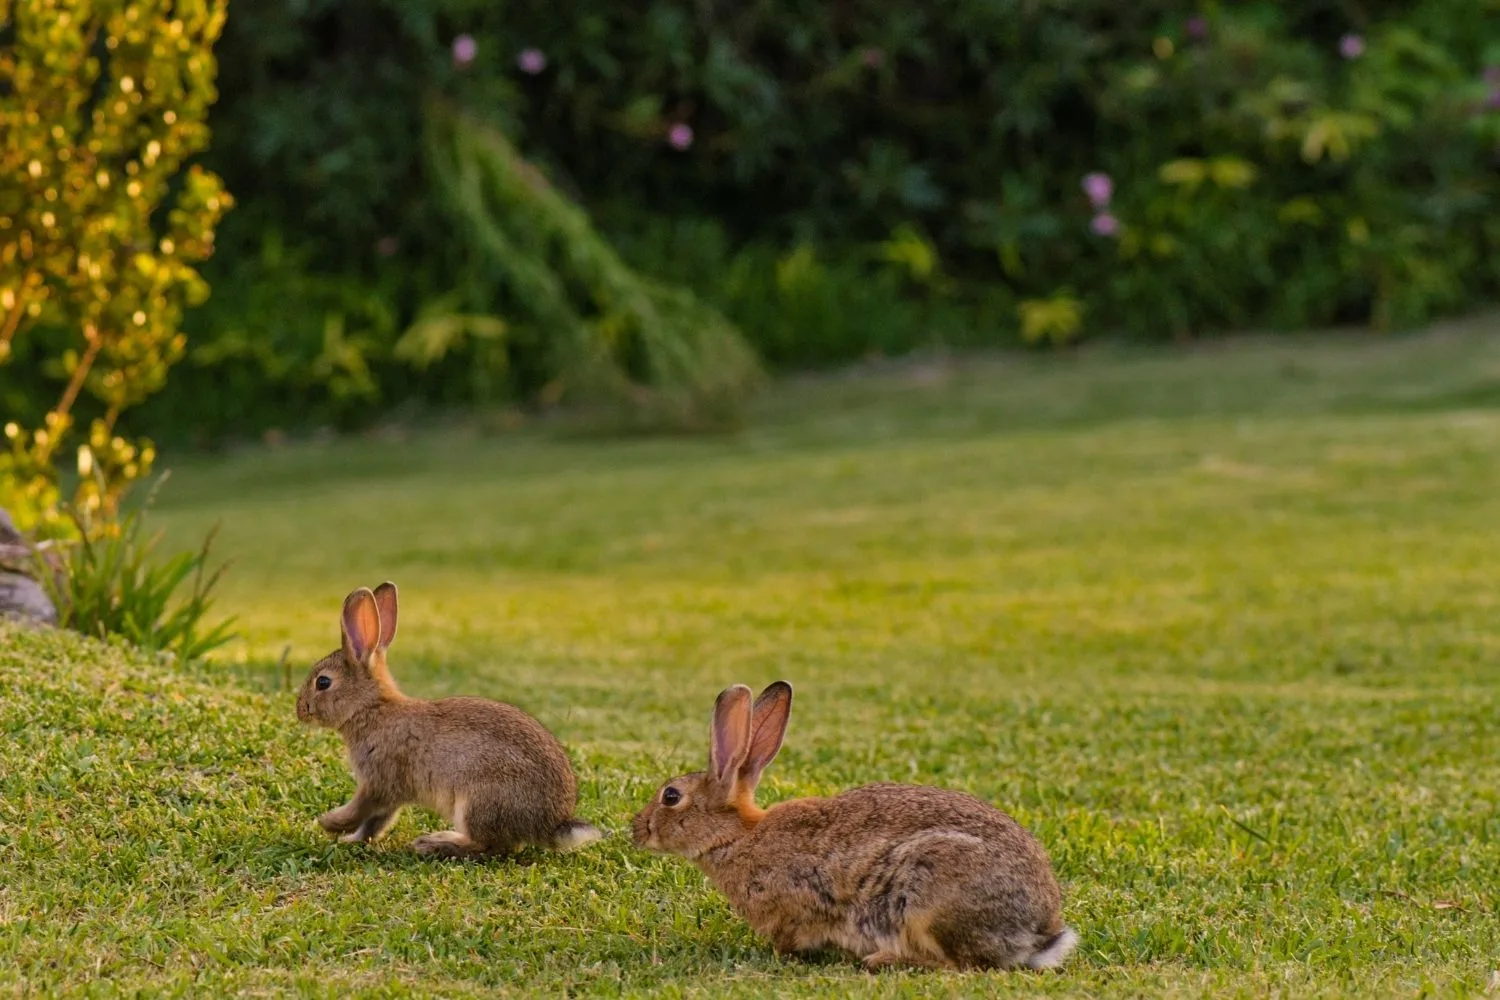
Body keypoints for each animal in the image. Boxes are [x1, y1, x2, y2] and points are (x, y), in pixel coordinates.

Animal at [296, 582, 601, 858]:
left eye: (323, 682)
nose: (300, 710)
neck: (371, 709)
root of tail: (552, 825)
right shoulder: (389, 794)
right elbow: (376, 822)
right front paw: (351, 839)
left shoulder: (378, 781)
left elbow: (361, 810)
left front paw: (328, 823)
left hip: (477, 802)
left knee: (492, 847)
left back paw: (434, 844)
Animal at [631, 680, 1077, 971]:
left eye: (670, 796)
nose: (636, 829)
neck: (737, 837)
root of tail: (1038, 933)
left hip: (929, 896)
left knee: (961, 964)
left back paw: (882, 959)